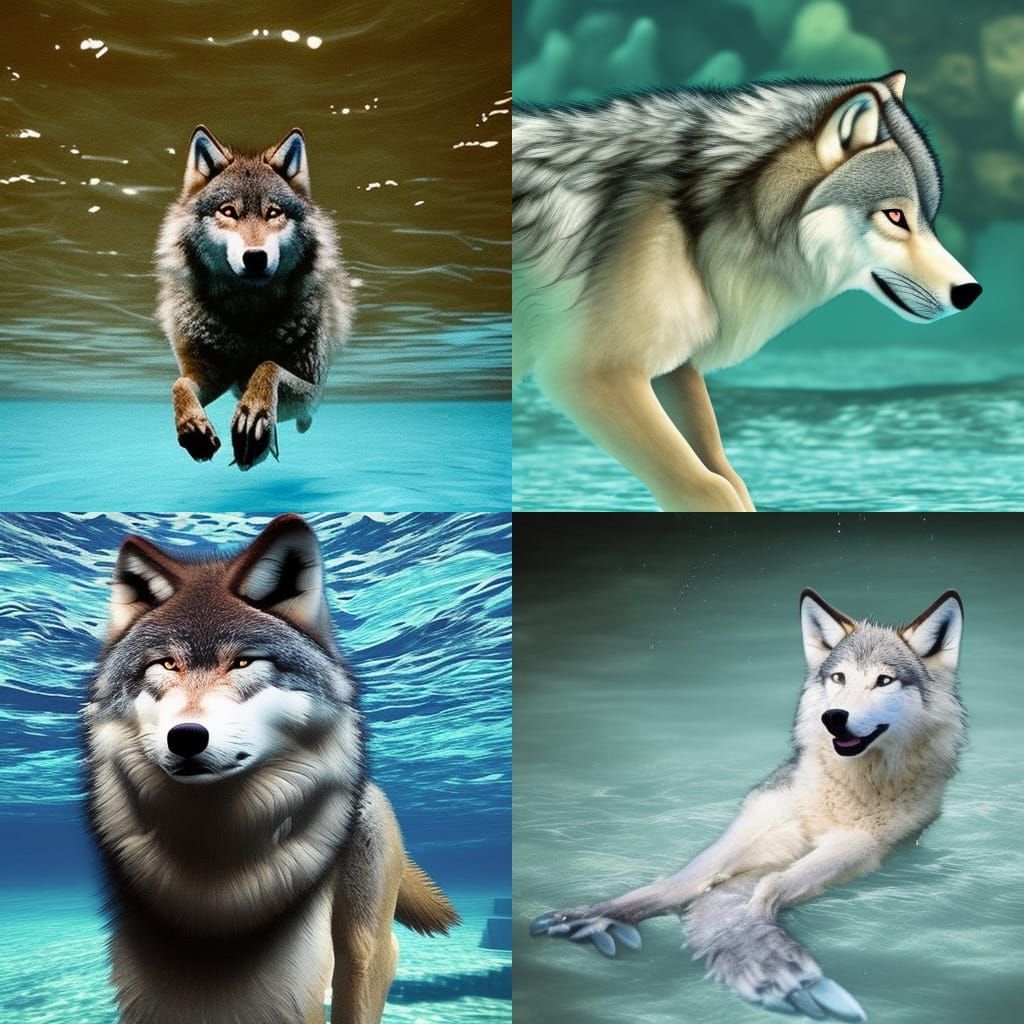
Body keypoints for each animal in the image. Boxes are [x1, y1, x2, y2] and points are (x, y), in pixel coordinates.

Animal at [83, 514, 458, 1024]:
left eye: (243, 662)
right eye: (167, 664)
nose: (186, 737)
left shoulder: (292, 980)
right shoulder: (151, 979)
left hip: (361, 942)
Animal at [156, 126, 354, 470]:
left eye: (273, 213)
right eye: (228, 212)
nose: (255, 258)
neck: (246, 318)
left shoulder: (311, 391)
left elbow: (268, 365)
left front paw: (254, 418)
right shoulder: (212, 377)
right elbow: (179, 384)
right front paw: (193, 428)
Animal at [513, 72, 982, 510]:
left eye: (928, 218)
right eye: (895, 216)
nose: (971, 292)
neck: (697, 229)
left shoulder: (672, 364)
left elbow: (726, 474)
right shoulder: (593, 372)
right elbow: (708, 487)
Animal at [531, 588, 966, 1021]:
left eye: (883, 681)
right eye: (838, 678)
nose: (833, 717)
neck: (845, 788)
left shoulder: (863, 845)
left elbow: (768, 888)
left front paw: (761, 948)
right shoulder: (762, 821)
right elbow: (685, 879)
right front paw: (595, 914)